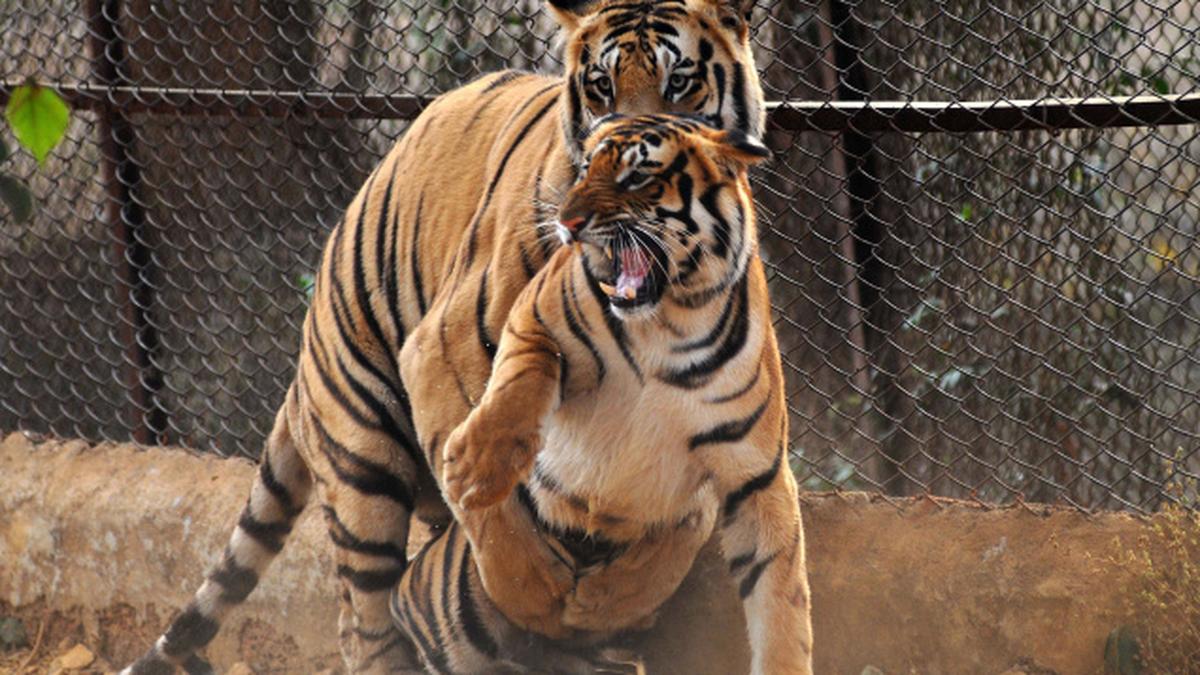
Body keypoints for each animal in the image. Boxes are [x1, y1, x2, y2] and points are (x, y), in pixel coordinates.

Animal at [392, 113, 813, 674]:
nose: (568, 223)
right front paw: (471, 470)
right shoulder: (532, 317)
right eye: (584, 170)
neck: (666, 322)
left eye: (637, 177)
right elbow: (521, 380)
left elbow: (782, 598)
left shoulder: (756, 475)